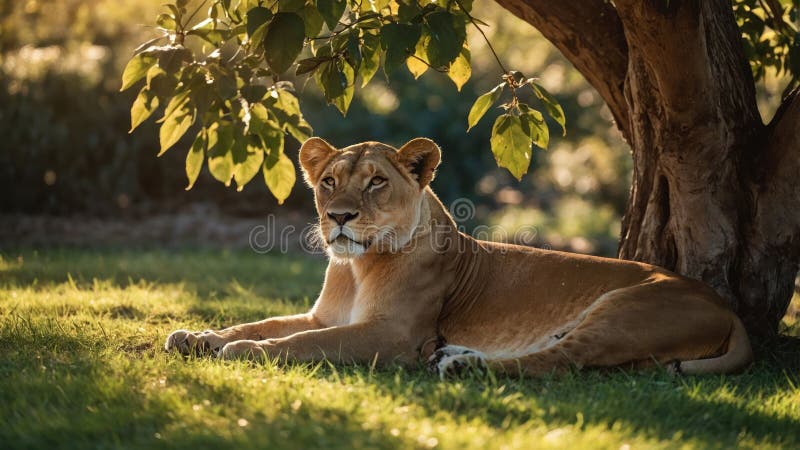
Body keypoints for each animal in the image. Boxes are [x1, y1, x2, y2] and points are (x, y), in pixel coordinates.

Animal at [165, 137, 753, 377]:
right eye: (328, 181)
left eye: (376, 182)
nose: (339, 216)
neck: (355, 268)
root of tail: (726, 307)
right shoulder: (323, 314)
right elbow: (262, 322)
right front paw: (199, 336)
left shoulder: (394, 336)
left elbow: (303, 344)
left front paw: (244, 353)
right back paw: (456, 357)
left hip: (623, 314)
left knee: (559, 362)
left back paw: (461, 367)